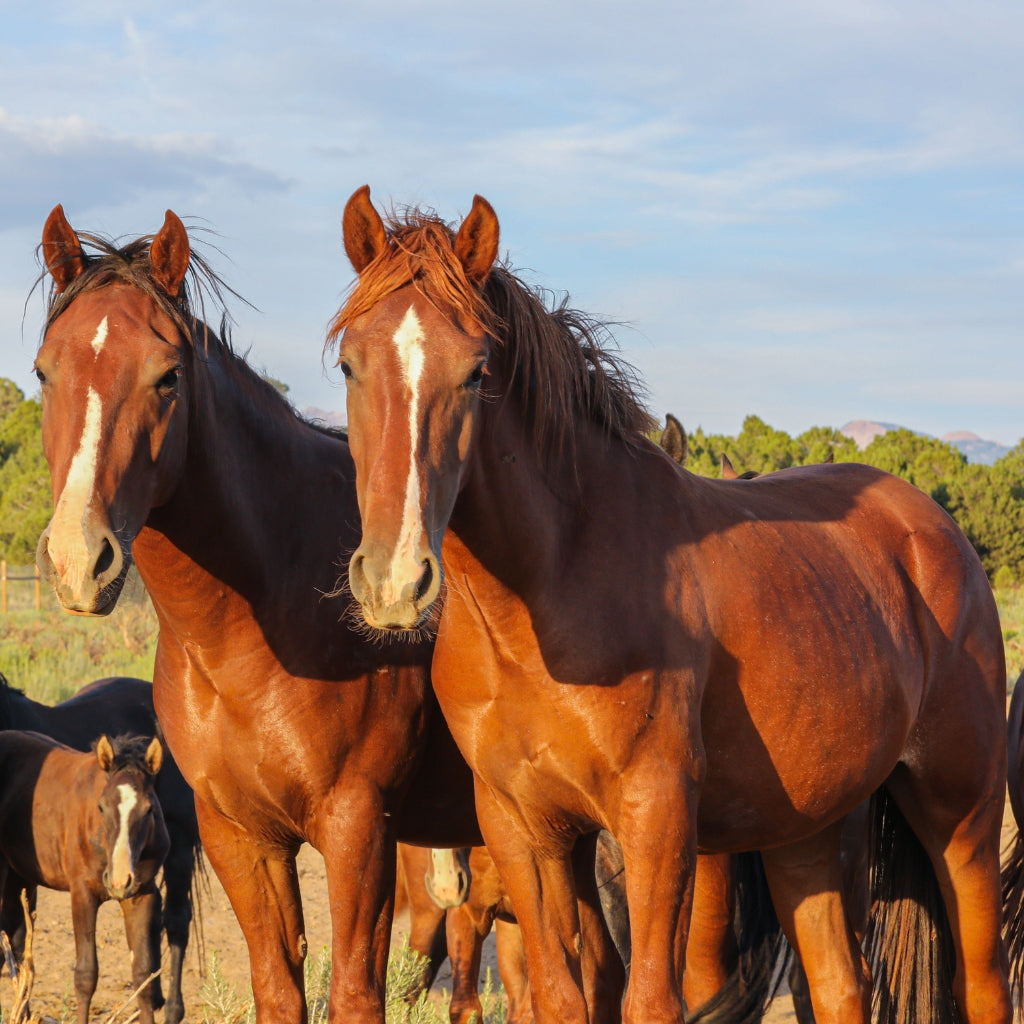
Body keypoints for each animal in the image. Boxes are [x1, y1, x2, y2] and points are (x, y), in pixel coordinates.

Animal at [0, 731, 168, 1024]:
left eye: (149, 810)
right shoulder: (82, 892)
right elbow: (86, 974)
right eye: (101, 806)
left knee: (19, 947)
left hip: (19, 877)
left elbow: (143, 974)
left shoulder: (141, 894)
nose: (119, 880)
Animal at [32, 206, 482, 1024]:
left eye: (167, 377)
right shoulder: (241, 837)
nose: (81, 558)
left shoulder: (358, 828)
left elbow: (356, 992)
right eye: (45, 372)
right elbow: (277, 987)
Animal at [328, 185, 1010, 1024]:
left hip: (963, 816)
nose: (394, 582)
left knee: (984, 983)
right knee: (838, 986)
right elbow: (562, 994)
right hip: (806, 833)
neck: (550, 595)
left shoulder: (656, 820)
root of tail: (933, 532)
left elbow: (652, 997)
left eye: (477, 371)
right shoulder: (525, 828)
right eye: (350, 363)